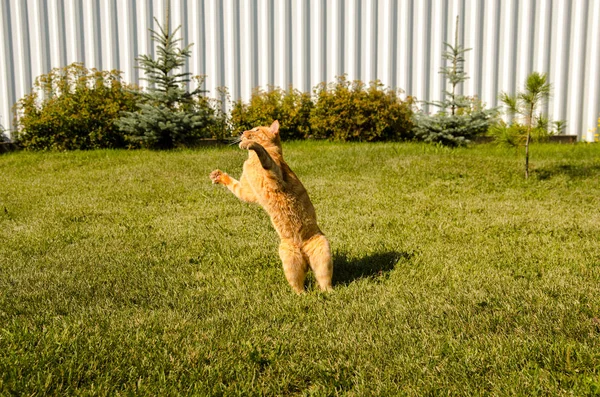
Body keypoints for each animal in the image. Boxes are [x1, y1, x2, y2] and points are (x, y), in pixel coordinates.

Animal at [210, 119, 332, 292]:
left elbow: (263, 154)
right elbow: (233, 184)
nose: (244, 132)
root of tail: (303, 253)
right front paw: (218, 176)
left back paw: (327, 293)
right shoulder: (247, 192)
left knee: (324, 282)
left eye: (256, 129)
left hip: (322, 252)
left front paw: (250, 144)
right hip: (289, 260)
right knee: (298, 285)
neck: (250, 160)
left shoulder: (274, 177)